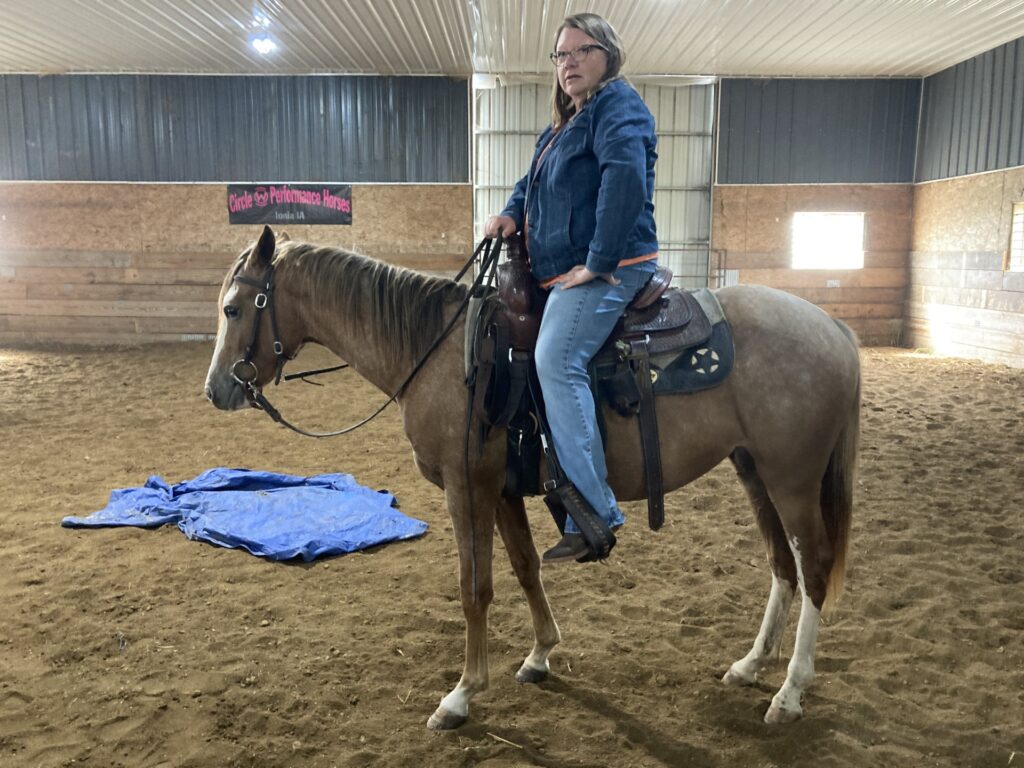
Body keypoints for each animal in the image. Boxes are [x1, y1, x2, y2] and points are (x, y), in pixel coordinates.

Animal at [204, 225, 861, 729]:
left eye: (234, 308)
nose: (216, 390)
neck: (440, 354)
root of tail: (834, 329)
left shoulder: (466, 489)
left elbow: (475, 588)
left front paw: (462, 694)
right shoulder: (500, 489)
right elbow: (524, 567)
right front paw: (540, 655)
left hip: (793, 480)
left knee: (814, 568)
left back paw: (790, 691)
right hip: (754, 471)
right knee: (782, 566)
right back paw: (751, 666)